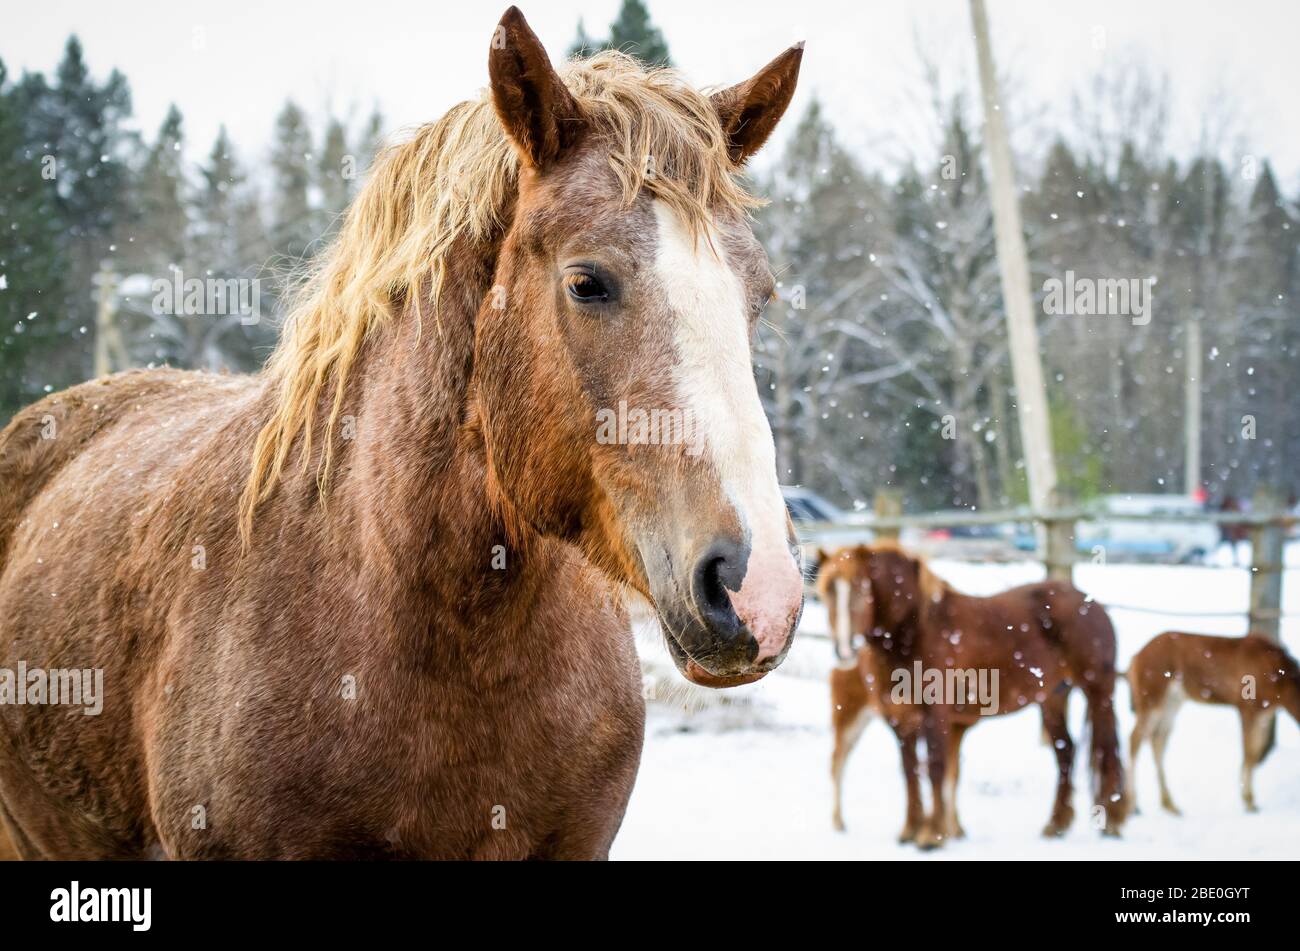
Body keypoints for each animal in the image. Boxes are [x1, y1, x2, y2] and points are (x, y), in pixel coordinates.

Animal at [819, 542, 1128, 848]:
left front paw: (932, 835)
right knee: (1066, 751)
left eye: (861, 588)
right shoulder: (900, 718)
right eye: (828, 591)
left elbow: (935, 767)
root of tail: (1092, 604)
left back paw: (1112, 823)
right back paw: (1056, 825)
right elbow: (910, 771)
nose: (844, 650)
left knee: (1107, 749)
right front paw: (910, 829)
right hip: (1053, 699)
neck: (915, 628)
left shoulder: (936, 714)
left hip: (1098, 692)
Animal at [1127, 631, 1300, 815]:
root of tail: (1136, 658)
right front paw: (1247, 801)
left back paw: (1170, 805)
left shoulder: (1265, 714)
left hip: (1172, 701)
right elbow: (1249, 753)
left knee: (1158, 741)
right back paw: (1133, 806)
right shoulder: (1246, 708)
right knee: (1135, 739)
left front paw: (1251, 800)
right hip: (1151, 698)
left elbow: (1255, 752)